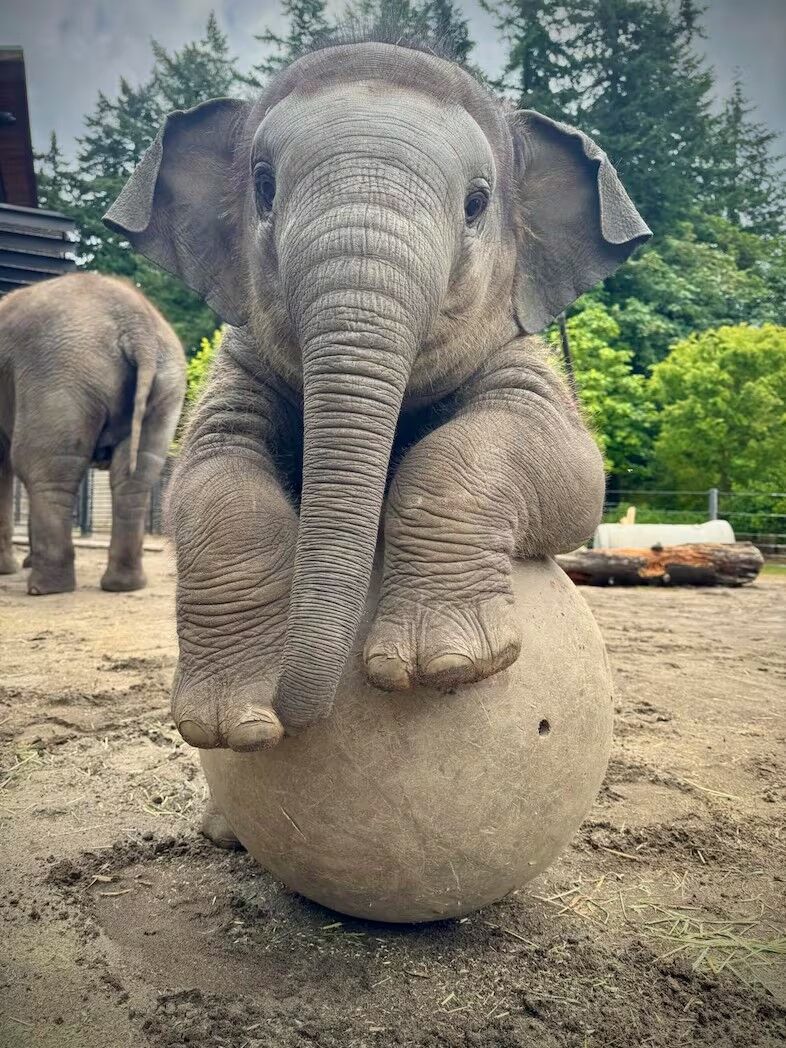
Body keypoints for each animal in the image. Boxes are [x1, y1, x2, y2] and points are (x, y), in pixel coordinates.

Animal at [0, 272, 186, 594]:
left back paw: (45, 588)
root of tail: (138, 326)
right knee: (135, 476)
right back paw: (124, 585)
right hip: (166, 386)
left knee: (44, 469)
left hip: (59, 374)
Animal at [105, 33, 650, 751]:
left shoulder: (519, 353)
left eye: (476, 204)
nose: (294, 712)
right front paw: (232, 726)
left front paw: (444, 664)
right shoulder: (238, 366)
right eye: (264, 187)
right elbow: (209, 481)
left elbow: (575, 475)